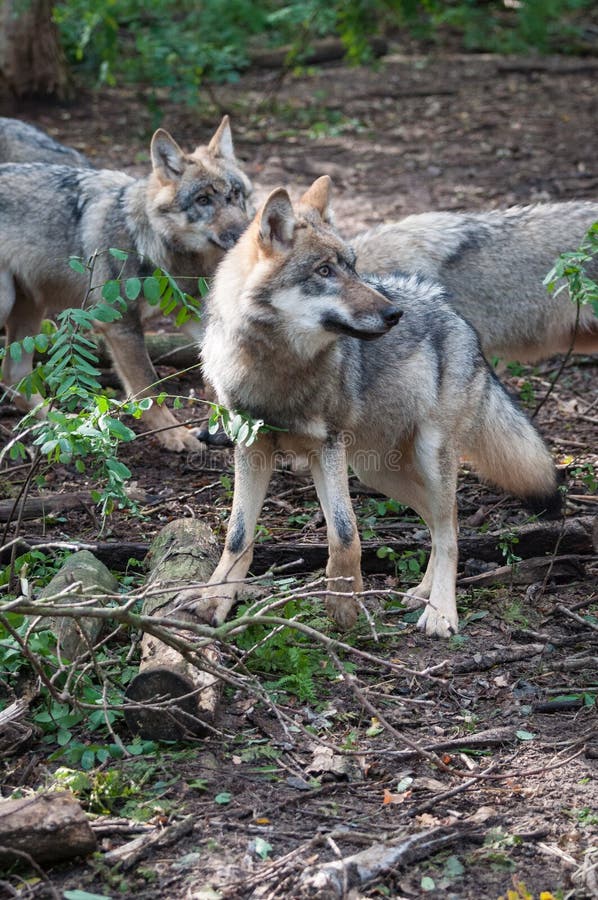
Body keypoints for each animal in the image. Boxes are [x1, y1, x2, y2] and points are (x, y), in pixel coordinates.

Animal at [0, 116, 252, 451]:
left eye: (236, 195)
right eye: (203, 200)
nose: (244, 235)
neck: (151, 242)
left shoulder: (190, 313)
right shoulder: (121, 325)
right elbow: (147, 387)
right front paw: (174, 436)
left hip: (29, 307)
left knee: (13, 378)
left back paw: (63, 427)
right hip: (6, 301)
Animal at [181, 176, 560, 638]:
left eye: (353, 267)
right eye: (324, 271)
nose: (394, 314)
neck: (279, 370)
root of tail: (452, 312)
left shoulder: (327, 447)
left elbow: (345, 533)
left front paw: (344, 606)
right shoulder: (252, 448)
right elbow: (238, 535)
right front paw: (212, 602)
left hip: (427, 457)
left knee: (449, 528)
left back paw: (440, 612)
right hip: (376, 471)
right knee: (445, 522)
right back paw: (423, 592)